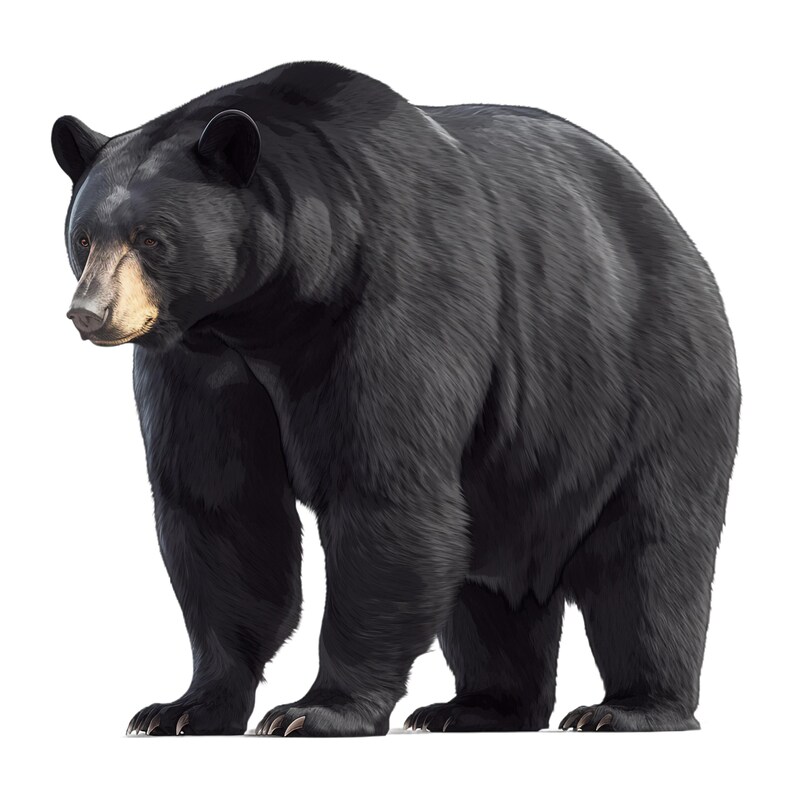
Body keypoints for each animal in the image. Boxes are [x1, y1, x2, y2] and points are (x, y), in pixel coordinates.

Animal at [52, 60, 741, 737]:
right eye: (83, 237)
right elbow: (223, 507)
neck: (269, 313)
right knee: (488, 590)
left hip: (651, 395)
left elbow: (384, 498)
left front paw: (314, 710)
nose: (89, 313)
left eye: (152, 238)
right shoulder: (200, 365)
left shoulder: (395, 303)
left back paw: (626, 708)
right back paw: (473, 709)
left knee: (649, 562)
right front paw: (182, 708)